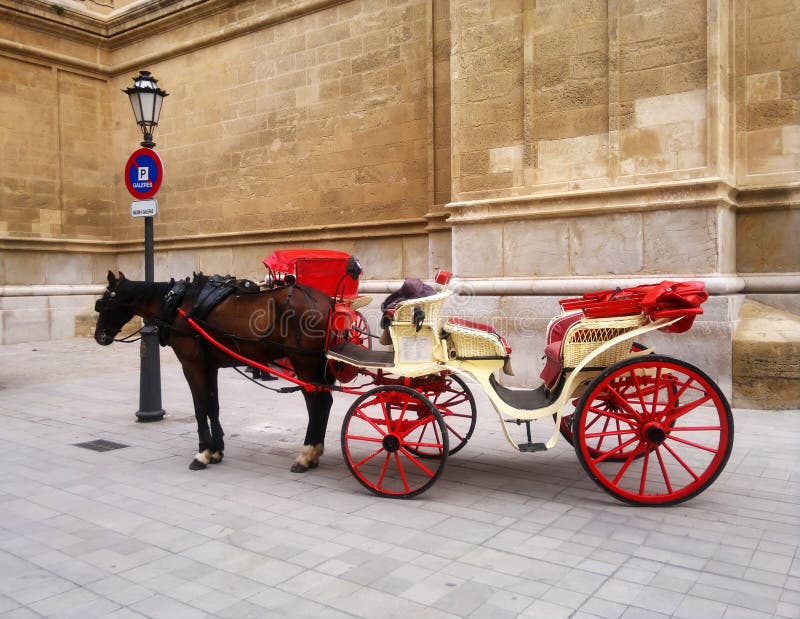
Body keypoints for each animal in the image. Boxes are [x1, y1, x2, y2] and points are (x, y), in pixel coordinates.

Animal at [94, 271, 335, 473]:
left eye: (103, 304)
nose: (99, 336)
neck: (178, 303)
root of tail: (329, 303)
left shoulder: (192, 365)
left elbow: (200, 408)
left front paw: (202, 453)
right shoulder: (209, 366)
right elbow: (213, 406)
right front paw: (216, 450)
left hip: (304, 364)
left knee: (317, 404)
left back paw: (307, 454)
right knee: (324, 403)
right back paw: (313, 454)